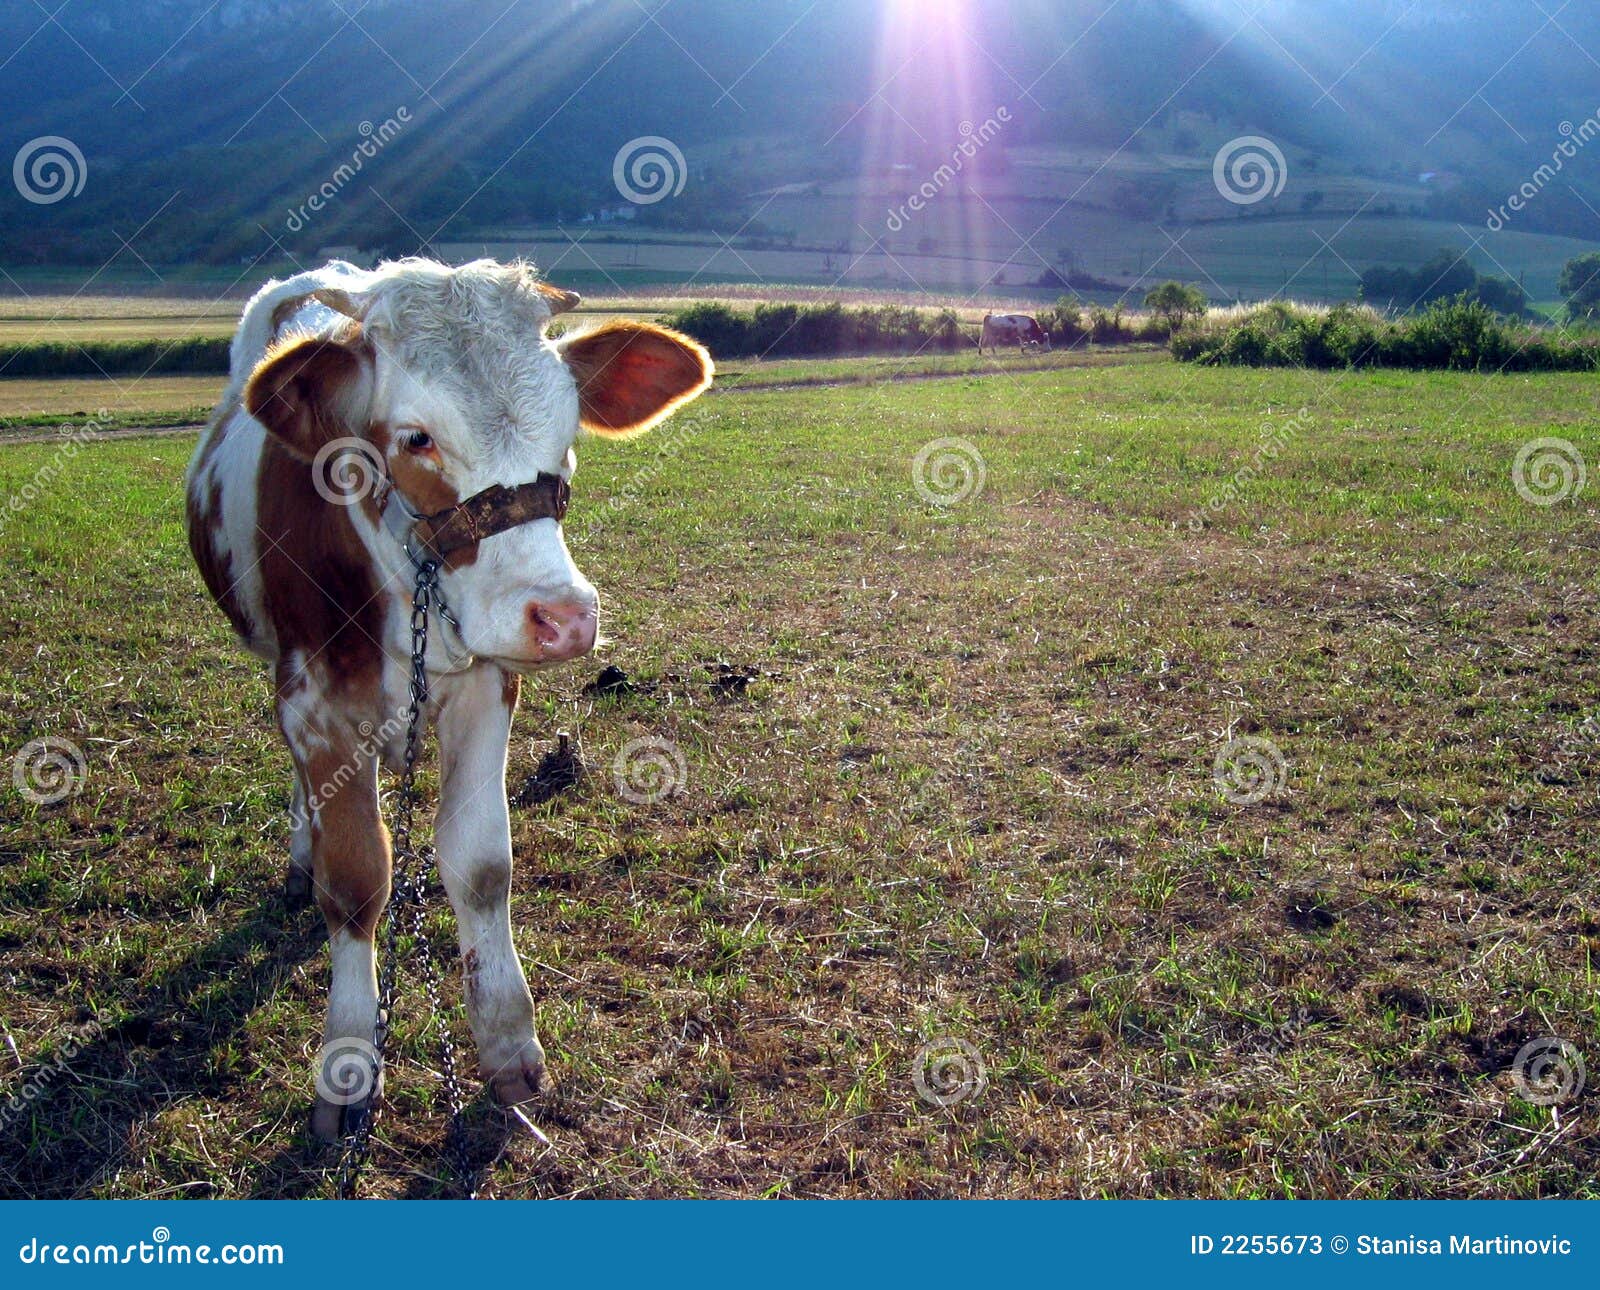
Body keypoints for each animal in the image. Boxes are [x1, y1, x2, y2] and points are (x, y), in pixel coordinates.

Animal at [185, 258, 712, 1139]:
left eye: (568, 432)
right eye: (416, 437)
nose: (565, 617)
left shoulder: (486, 687)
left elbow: (481, 865)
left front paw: (508, 1044)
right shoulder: (314, 703)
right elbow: (355, 879)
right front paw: (347, 1064)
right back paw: (299, 853)